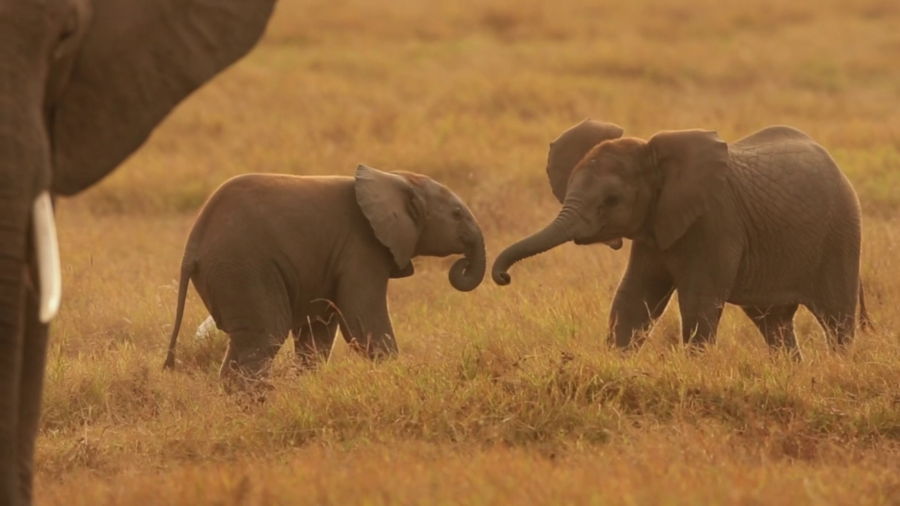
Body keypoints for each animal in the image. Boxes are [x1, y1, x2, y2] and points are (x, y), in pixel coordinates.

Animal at [162, 164, 486, 380]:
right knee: (265, 336)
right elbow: (361, 322)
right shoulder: (361, 247)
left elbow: (317, 332)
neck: (396, 178)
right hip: (243, 268)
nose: (462, 264)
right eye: (457, 214)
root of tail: (192, 245)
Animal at [492, 119, 870, 359]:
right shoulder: (654, 229)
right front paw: (615, 363)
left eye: (611, 200)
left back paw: (838, 369)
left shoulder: (714, 223)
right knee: (774, 323)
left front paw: (694, 368)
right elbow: (634, 298)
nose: (502, 276)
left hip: (842, 235)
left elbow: (698, 302)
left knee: (837, 321)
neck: (656, 157)